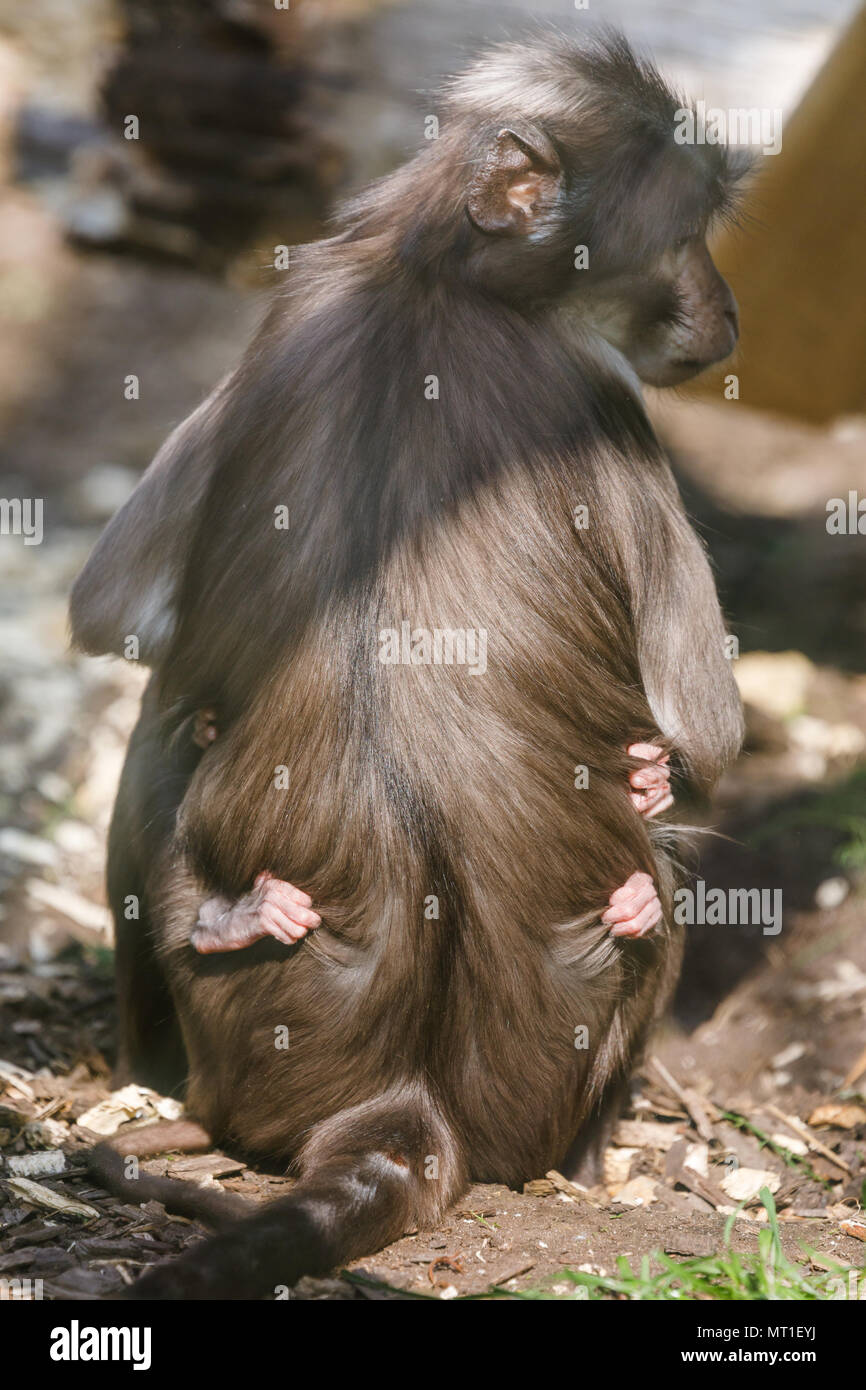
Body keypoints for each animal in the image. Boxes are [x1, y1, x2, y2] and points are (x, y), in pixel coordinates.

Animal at [70, 31, 745, 1298]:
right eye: (682, 237)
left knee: (161, 725)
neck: (442, 273)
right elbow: (710, 724)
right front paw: (670, 768)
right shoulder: (597, 394)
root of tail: (406, 1098)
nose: (722, 311)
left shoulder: (299, 302)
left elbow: (113, 626)